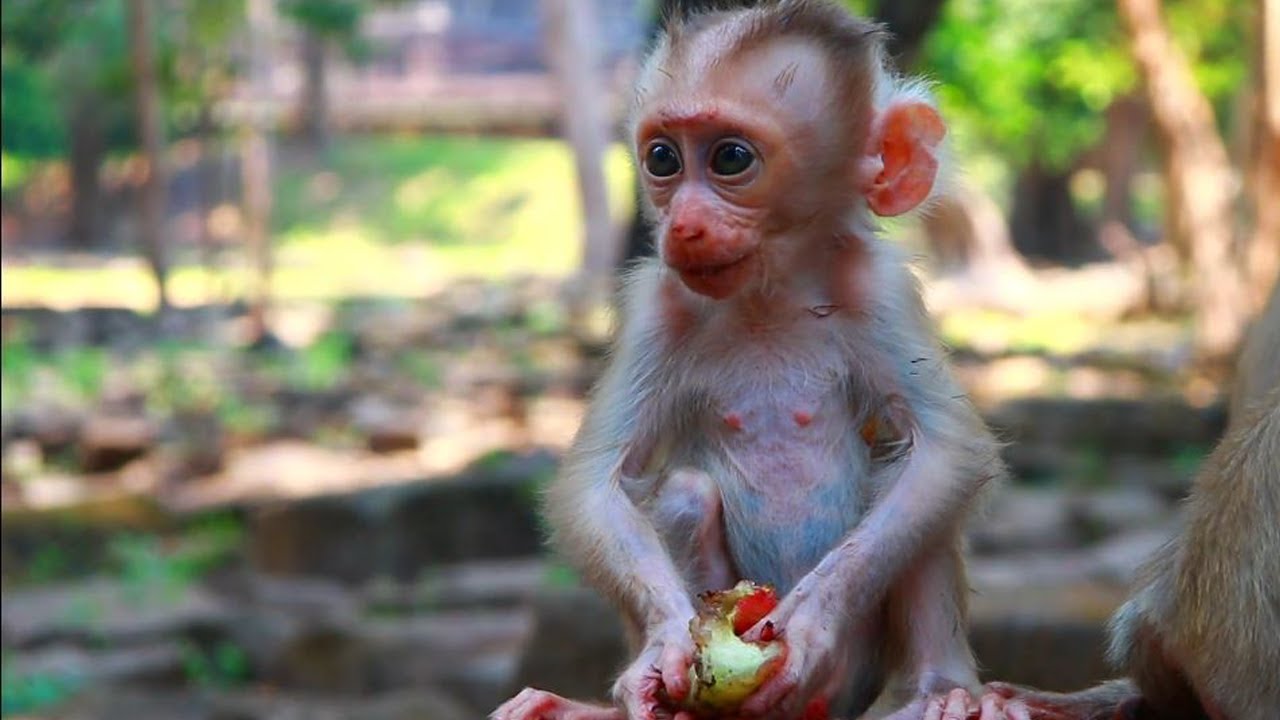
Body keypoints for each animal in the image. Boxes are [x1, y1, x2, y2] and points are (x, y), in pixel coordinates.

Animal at [493, 2, 1004, 719]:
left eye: (731, 158)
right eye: (662, 158)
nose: (682, 224)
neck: (770, 294)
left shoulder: (879, 288)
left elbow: (946, 451)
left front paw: (813, 625)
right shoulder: (657, 304)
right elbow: (595, 483)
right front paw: (664, 646)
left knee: (910, 482)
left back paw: (940, 690)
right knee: (685, 493)